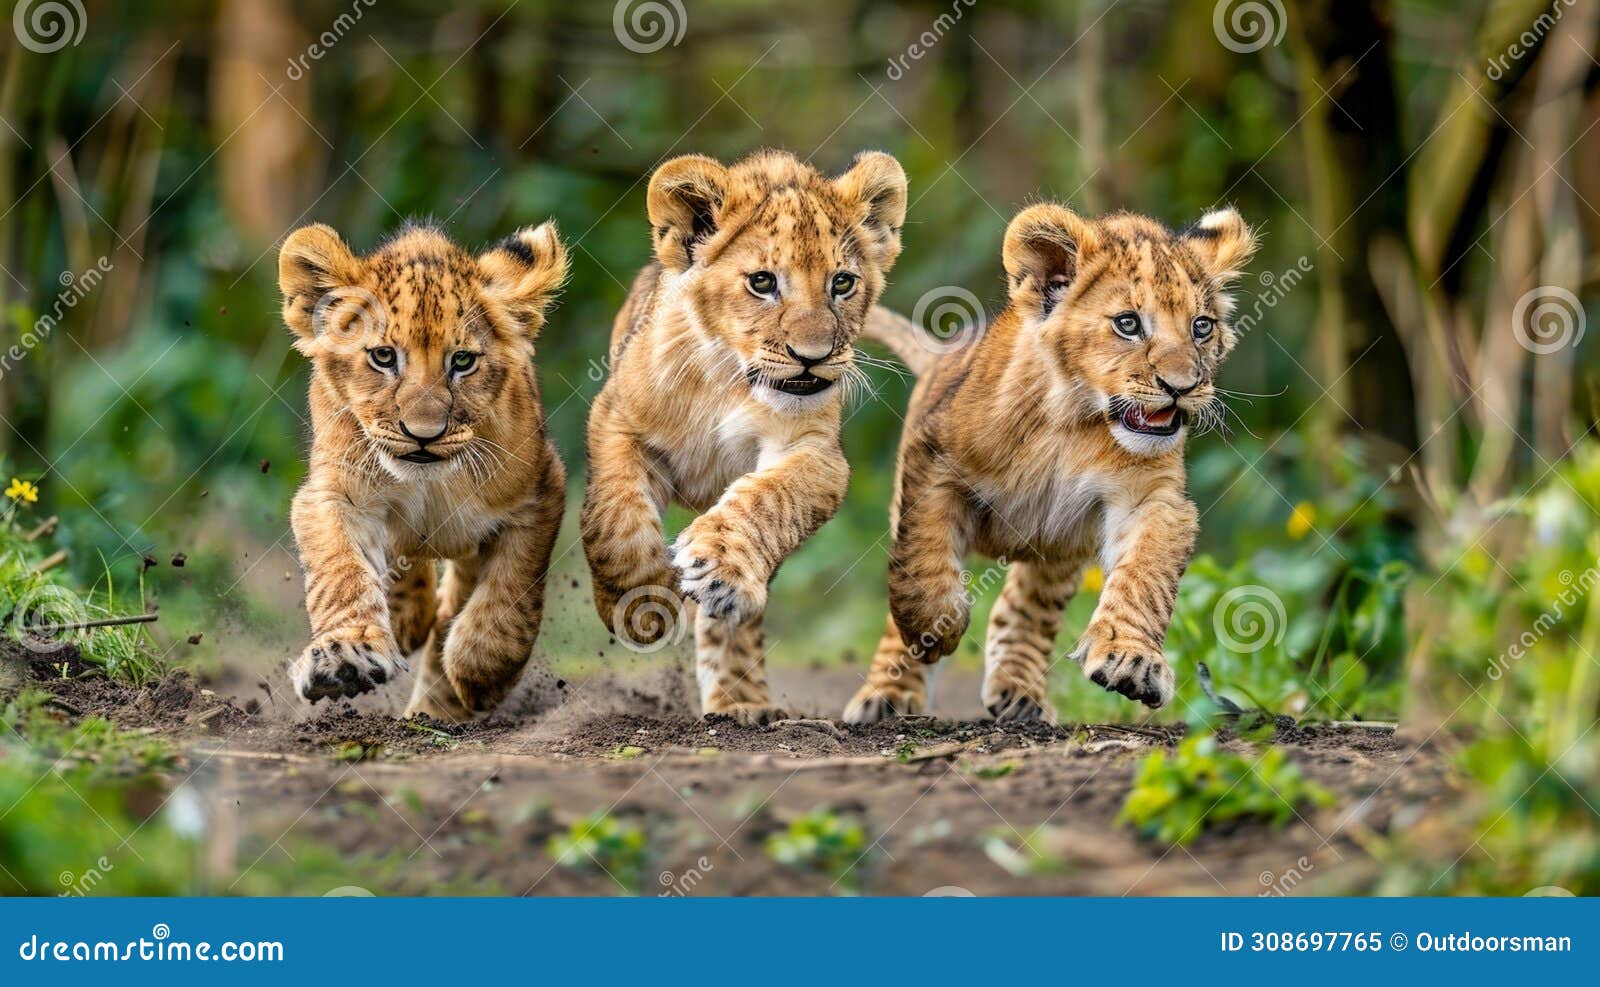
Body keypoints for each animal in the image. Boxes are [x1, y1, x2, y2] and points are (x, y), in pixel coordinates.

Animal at [278, 219, 569, 721]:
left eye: (463, 361)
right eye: (383, 356)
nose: (423, 435)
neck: (427, 484)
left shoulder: (541, 489)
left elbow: (514, 588)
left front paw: (481, 667)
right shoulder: (333, 494)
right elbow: (339, 572)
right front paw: (347, 657)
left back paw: (438, 705)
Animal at [580, 148, 908, 725]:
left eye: (842, 284)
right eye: (762, 282)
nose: (813, 357)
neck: (727, 377)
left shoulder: (815, 451)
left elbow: (768, 498)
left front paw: (720, 570)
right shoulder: (616, 421)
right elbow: (616, 515)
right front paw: (637, 601)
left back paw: (739, 698)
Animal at [845, 203, 1257, 724]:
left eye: (1201, 327)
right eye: (1128, 324)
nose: (1181, 387)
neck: (1073, 419)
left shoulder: (1153, 500)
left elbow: (1146, 576)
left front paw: (1132, 661)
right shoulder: (933, 459)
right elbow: (919, 558)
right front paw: (934, 624)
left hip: (1056, 546)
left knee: (1024, 606)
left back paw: (1019, 693)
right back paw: (887, 695)